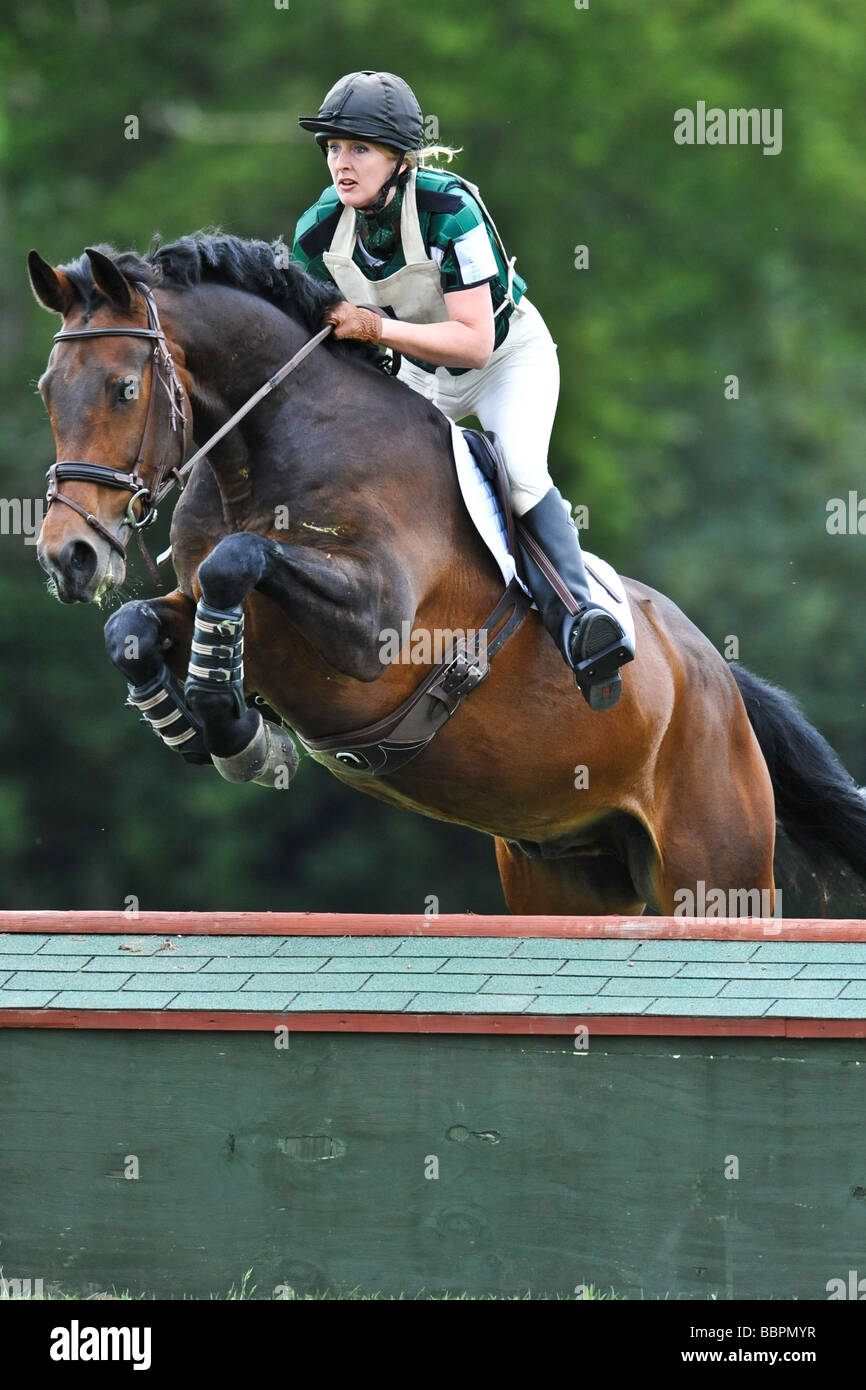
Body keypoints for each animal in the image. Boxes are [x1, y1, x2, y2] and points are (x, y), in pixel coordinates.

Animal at [27, 234, 866, 916]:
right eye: (47, 391)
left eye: (124, 389)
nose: (69, 555)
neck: (262, 457)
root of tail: (720, 681)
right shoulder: (207, 604)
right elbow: (133, 627)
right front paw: (217, 729)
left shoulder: (374, 627)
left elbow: (243, 559)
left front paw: (231, 723)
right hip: (564, 877)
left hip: (717, 872)